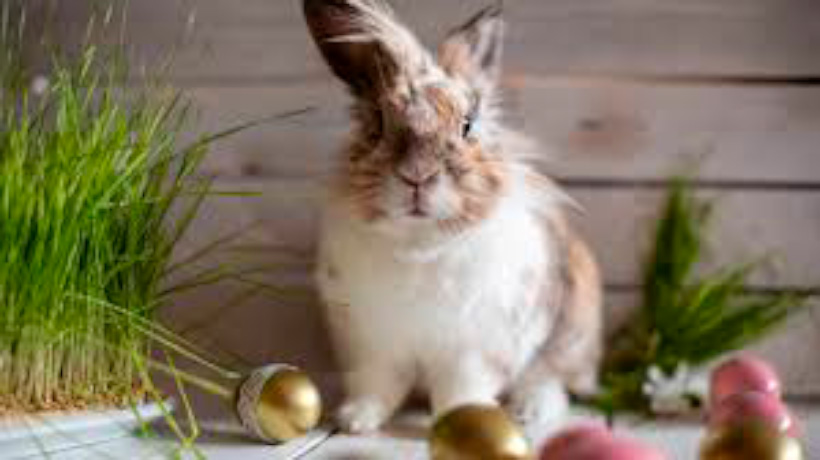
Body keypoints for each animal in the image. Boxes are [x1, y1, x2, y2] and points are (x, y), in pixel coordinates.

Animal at [303, 0, 603, 434]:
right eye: (379, 123)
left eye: (467, 125)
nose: (417, 175)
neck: (419, 241)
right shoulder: (371, 344)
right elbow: (377, 384)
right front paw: (355, 420)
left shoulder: (474, 350)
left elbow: (460, 389)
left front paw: (462, 422)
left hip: (571, 330)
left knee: (548, 377)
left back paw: (529, 411)